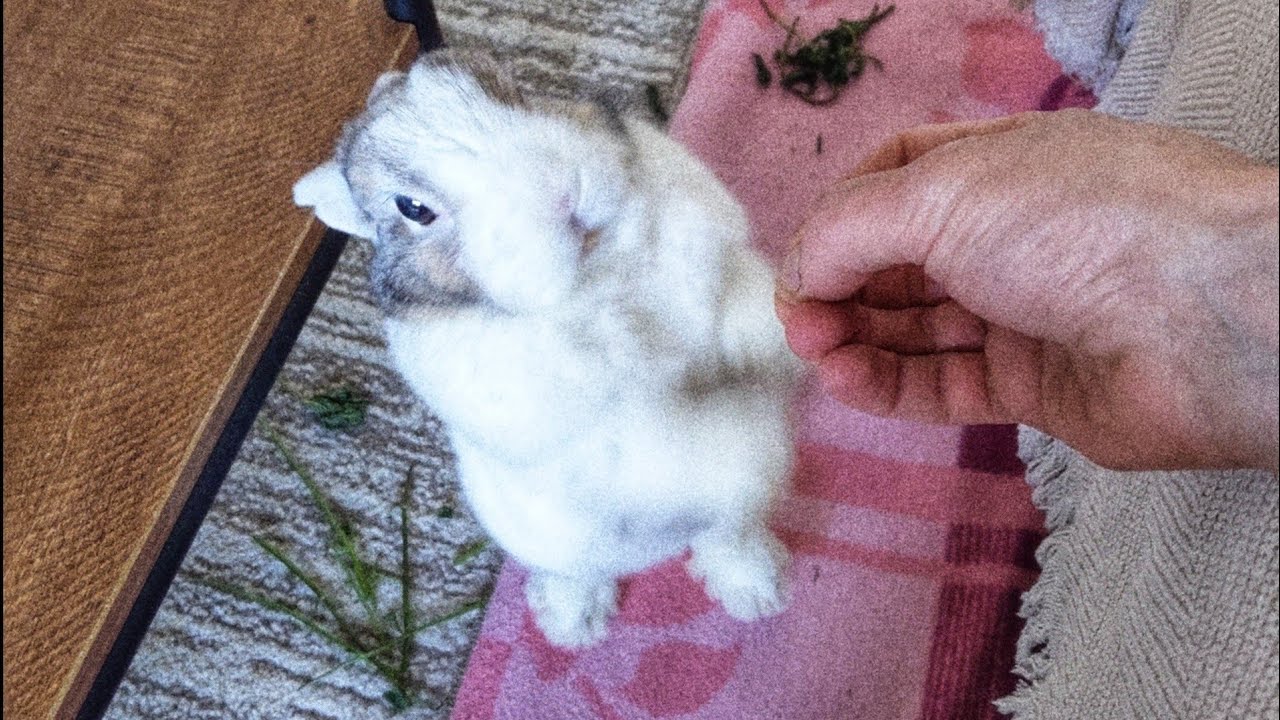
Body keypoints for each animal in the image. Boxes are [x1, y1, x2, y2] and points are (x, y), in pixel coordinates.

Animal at [293, 49, 800, 647]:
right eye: (413, 208)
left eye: (513, 89)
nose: (564, 193)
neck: (602, 268)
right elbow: (649, 429)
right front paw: (711, 436)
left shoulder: (724, 271)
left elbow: (738, 316)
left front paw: (775, 353)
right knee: (583, 569)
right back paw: (572, 623)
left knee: (727, 534)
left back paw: (756, 590)